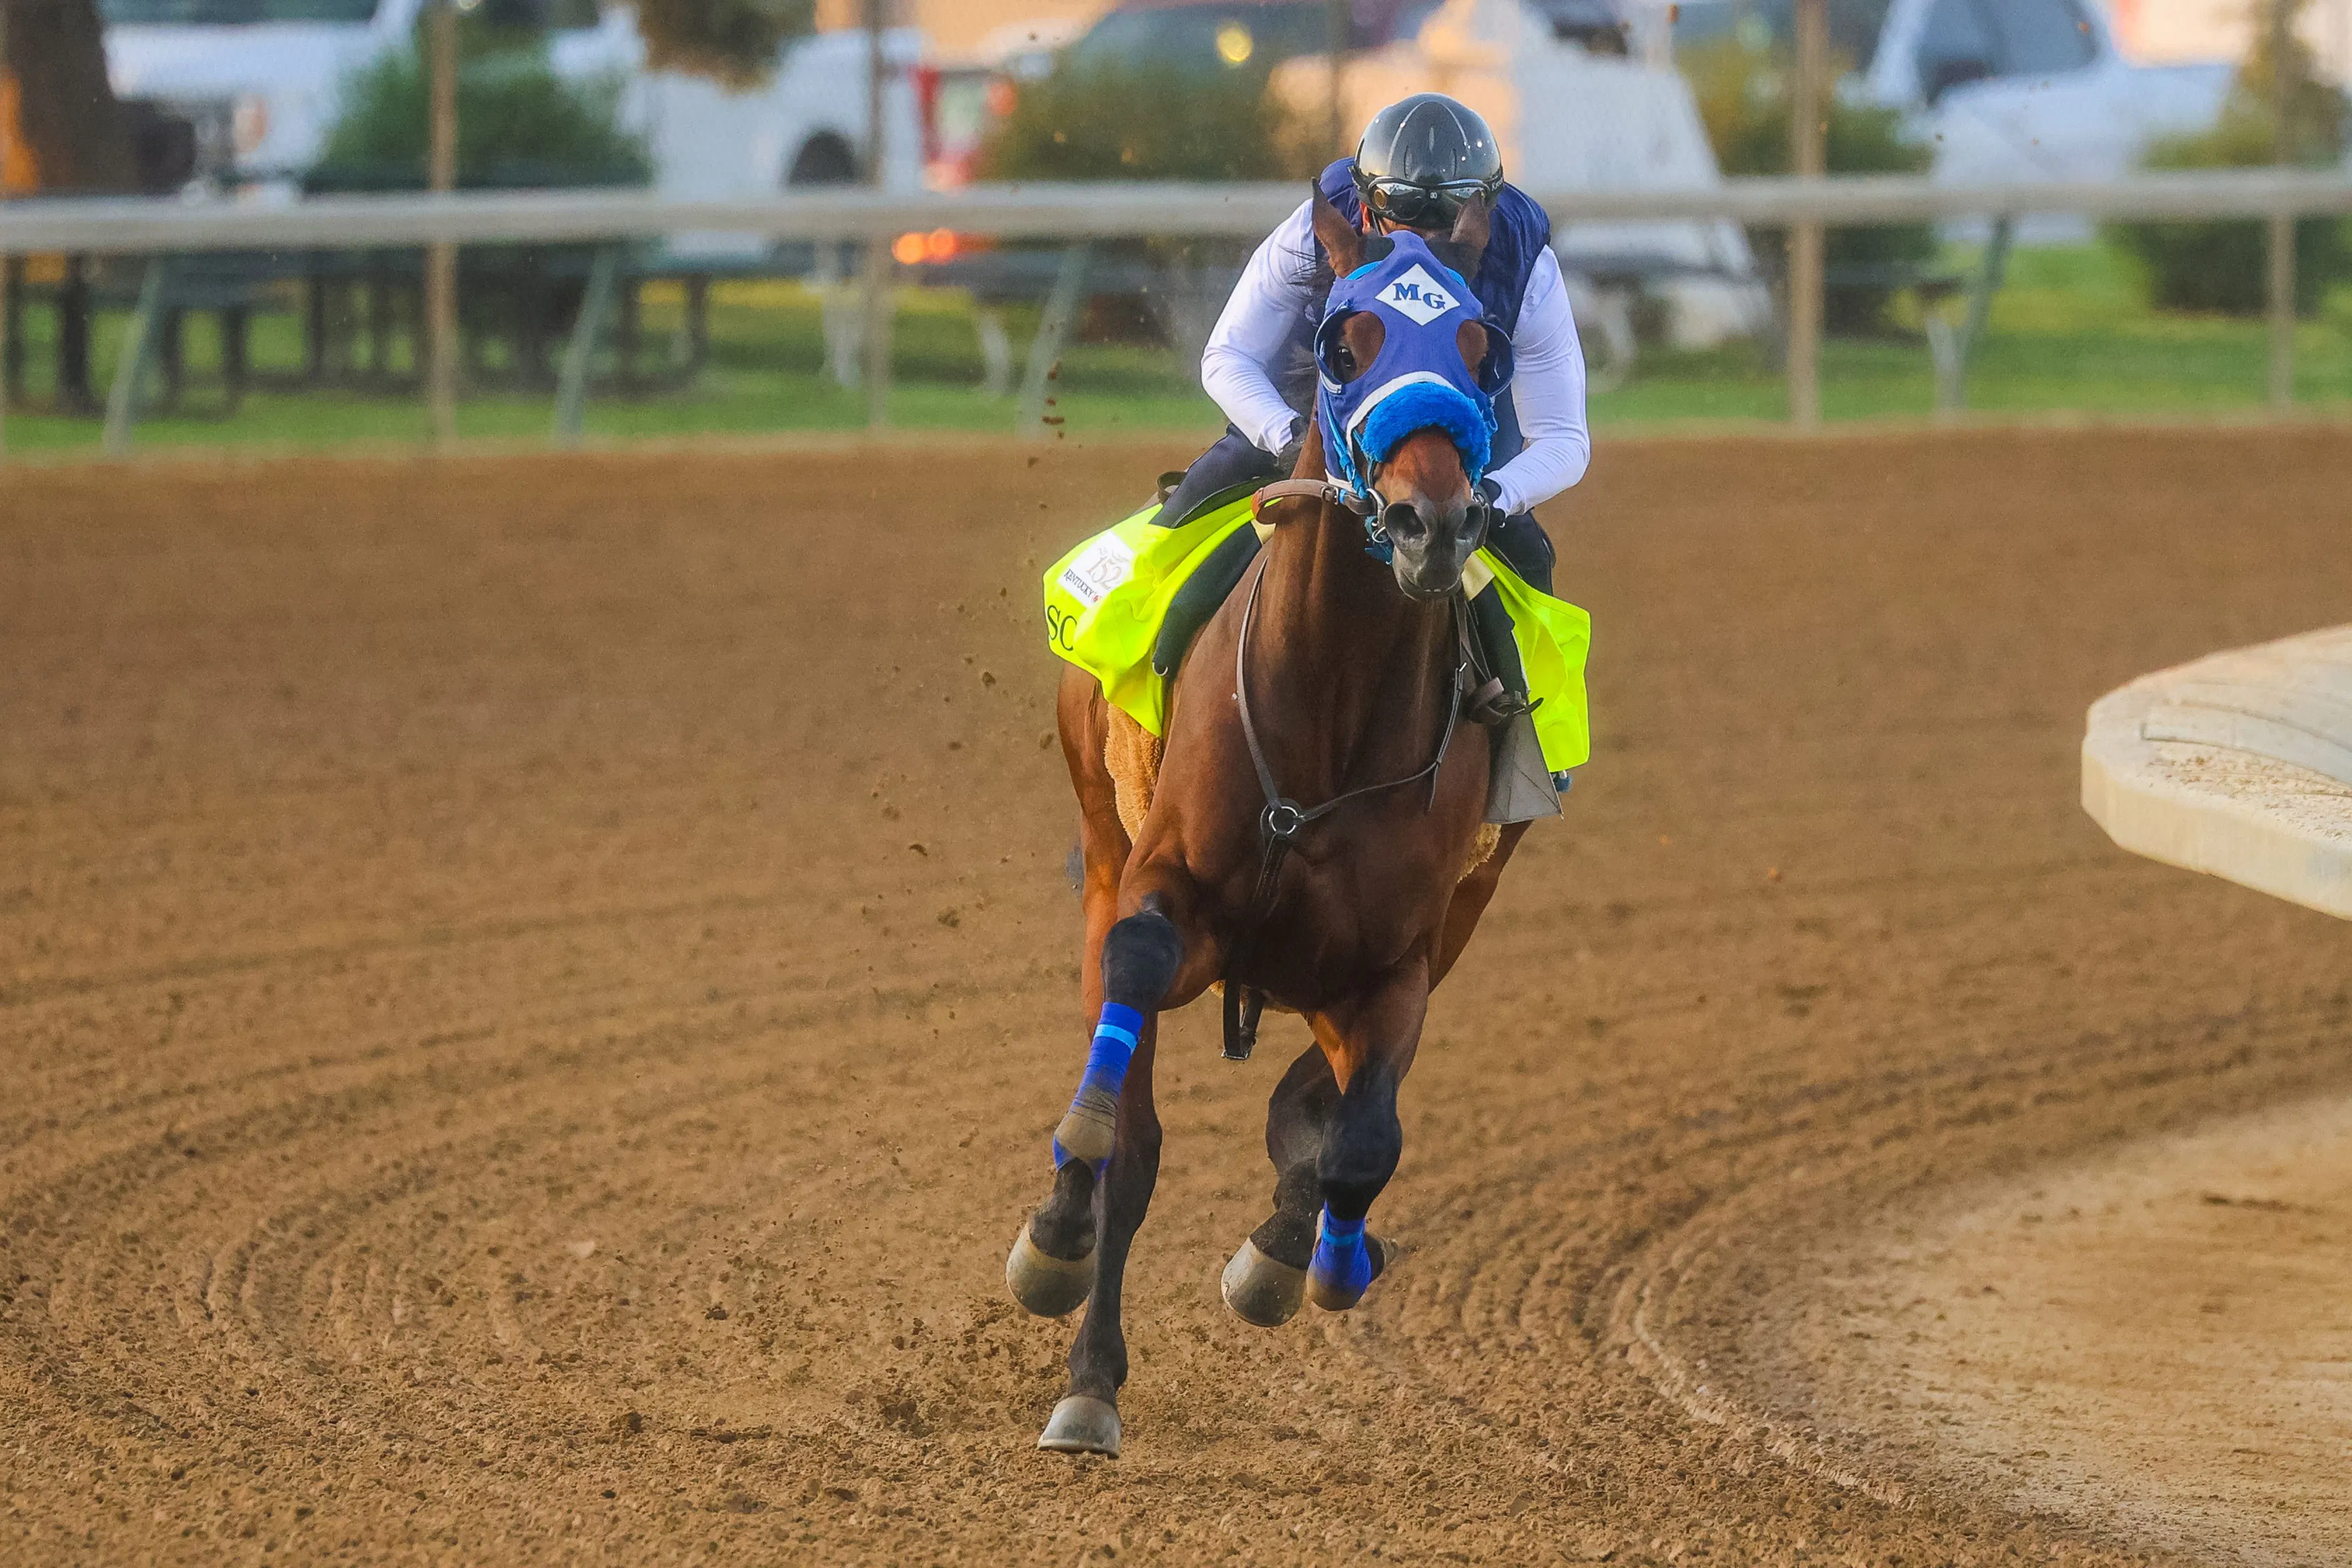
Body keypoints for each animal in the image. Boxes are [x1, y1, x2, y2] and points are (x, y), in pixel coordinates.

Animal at [1007, 191, 1533, 1458]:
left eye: (1484, 350)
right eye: (1343, 346)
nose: (1431, 522)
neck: (1328, 716)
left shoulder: (1399, 961)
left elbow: (1359, 1139)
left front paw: (1307, 1255)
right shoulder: (1167, 895)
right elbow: (1125, 1108)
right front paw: (1074, 1283)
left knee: (1321, 1108)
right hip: (1102, 842)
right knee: (1132, 1122)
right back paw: (1077, 1319)